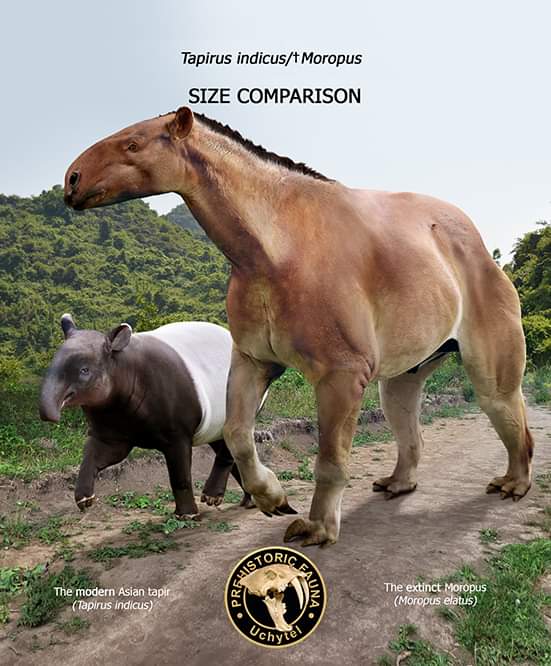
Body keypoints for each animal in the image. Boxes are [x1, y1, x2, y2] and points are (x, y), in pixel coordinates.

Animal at [63, 106, 534, 546]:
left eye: (133, 144)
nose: (71, 180)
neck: (273, 252)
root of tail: (481, 251)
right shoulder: (254, 362)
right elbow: (238, 435)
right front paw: (272, 497)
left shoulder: (341, 377)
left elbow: (330, 460)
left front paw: (318, 528)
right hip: (401, 380)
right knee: (412, 434)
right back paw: (399, 484)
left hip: (491, 376)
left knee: (514, 422)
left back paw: (515, 484)